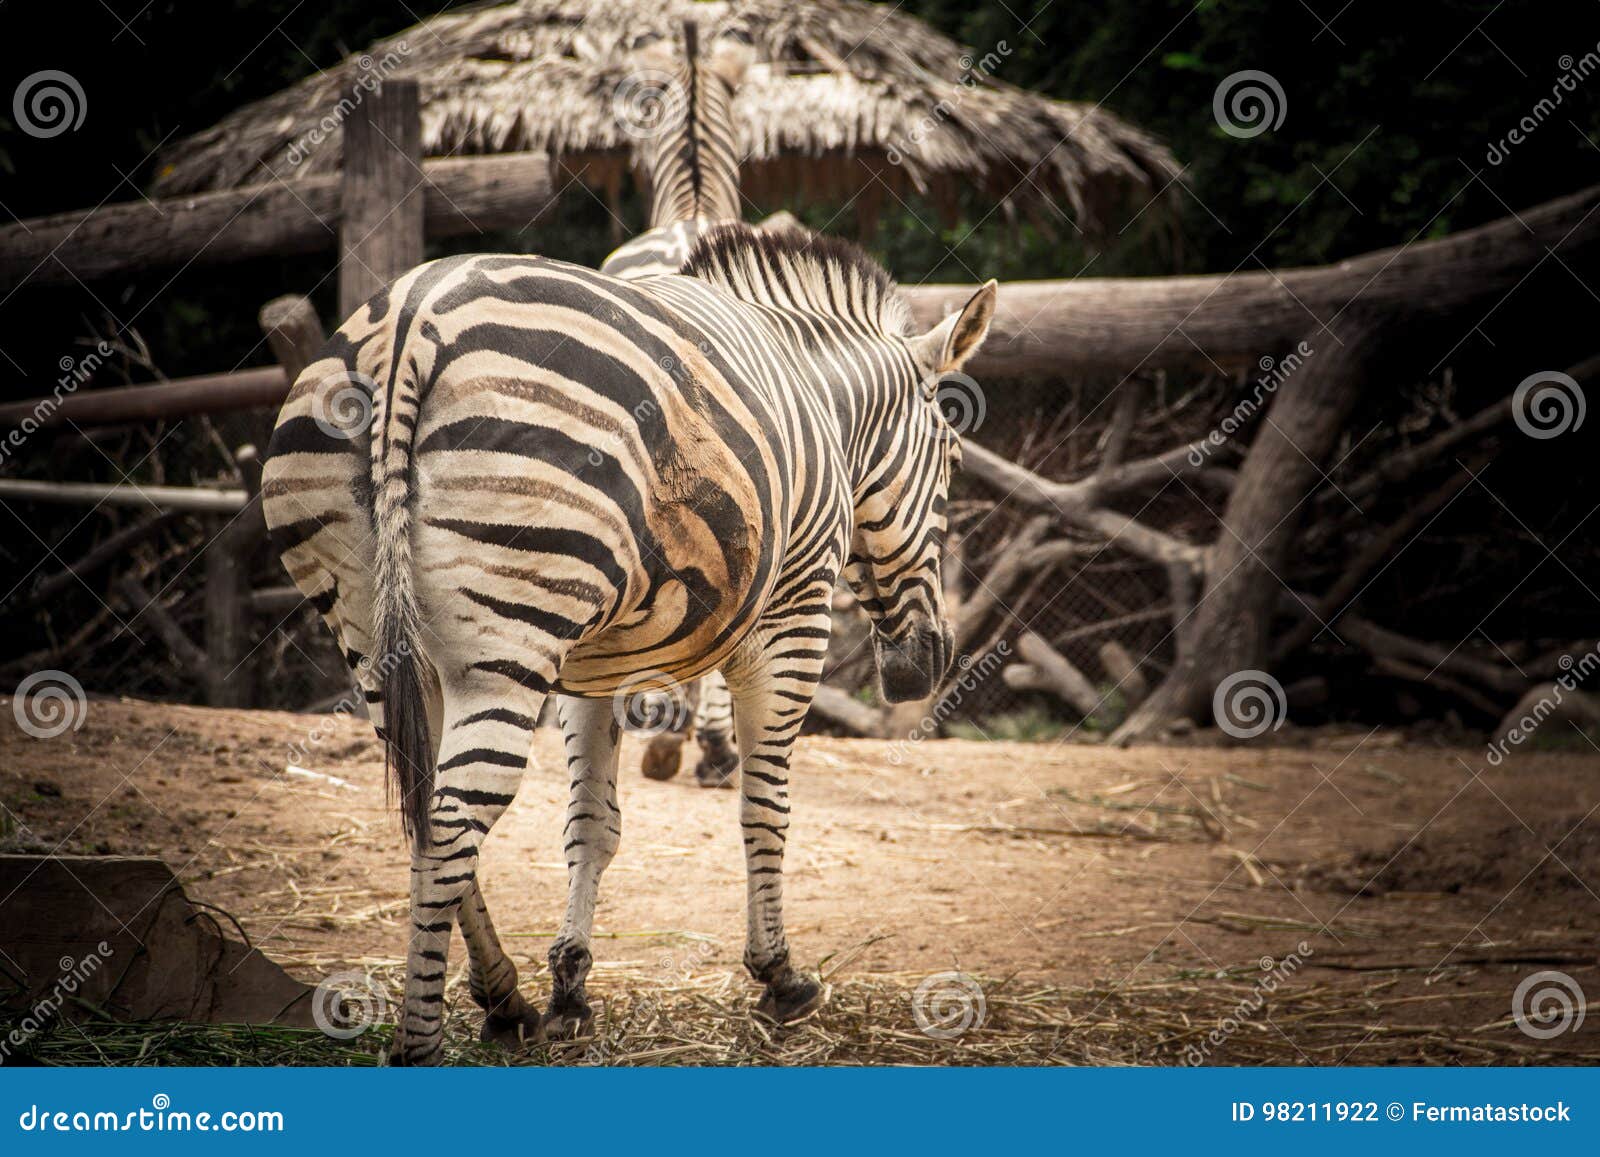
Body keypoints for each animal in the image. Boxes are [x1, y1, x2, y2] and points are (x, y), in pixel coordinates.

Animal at [260, 225, 996, 1063]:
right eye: (953, 464)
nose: (923, 668)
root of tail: (411, 324)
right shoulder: (794, 616)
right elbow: (765, 805)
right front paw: (779, 975)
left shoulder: (593, 662)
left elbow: (592, 821)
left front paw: (570, 985)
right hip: (507, 642)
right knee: (450, 821)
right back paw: (422, 1043)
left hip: (378, 638)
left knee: (422, 806)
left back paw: (505, 999)